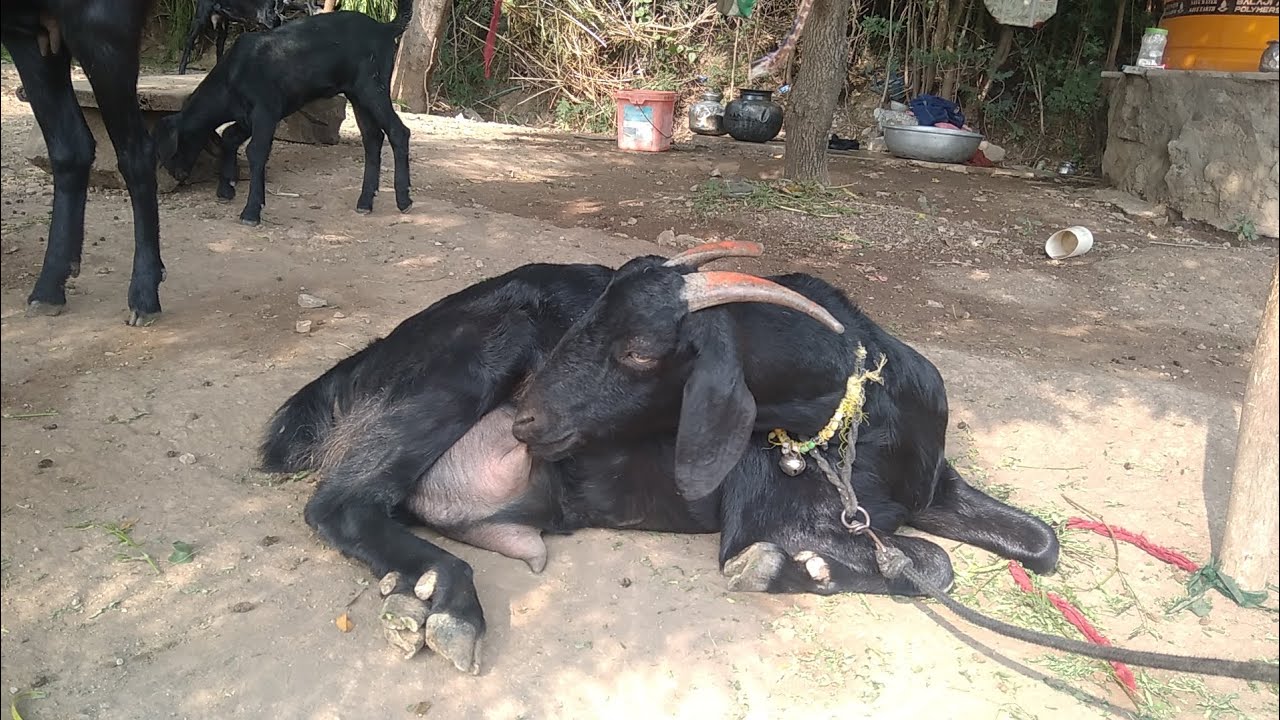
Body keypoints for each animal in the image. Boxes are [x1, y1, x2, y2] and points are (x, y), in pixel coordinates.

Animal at [2, 0, 166, 325]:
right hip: (30, 33)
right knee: (71, 147)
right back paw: (49, 289)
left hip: (99, 28)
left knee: (136, 153)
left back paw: (144, 294)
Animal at [155, 0, 414, 226]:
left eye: (177, 144)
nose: (177, 174)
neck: (232, 75)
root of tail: (384, 29)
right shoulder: (246, 117)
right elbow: (229, 136)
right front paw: (226, 188)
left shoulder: (266, 112)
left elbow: (255, 152)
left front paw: (251, 210)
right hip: (357, 96)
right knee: (372, 138)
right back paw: (365, 201)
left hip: (372, 88)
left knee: (398, 132)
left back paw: (403, 199)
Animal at [259, 241, 1060, 675]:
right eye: (583, 321)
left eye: (641, 350)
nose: (525, 420)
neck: (852, 422)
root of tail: (369, 357)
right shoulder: (773, 511)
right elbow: (931, 563)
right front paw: (785, 568)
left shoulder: (931, 486)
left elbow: (1042, 542)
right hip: (462, 365)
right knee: (339, 503)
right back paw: (445, 601)